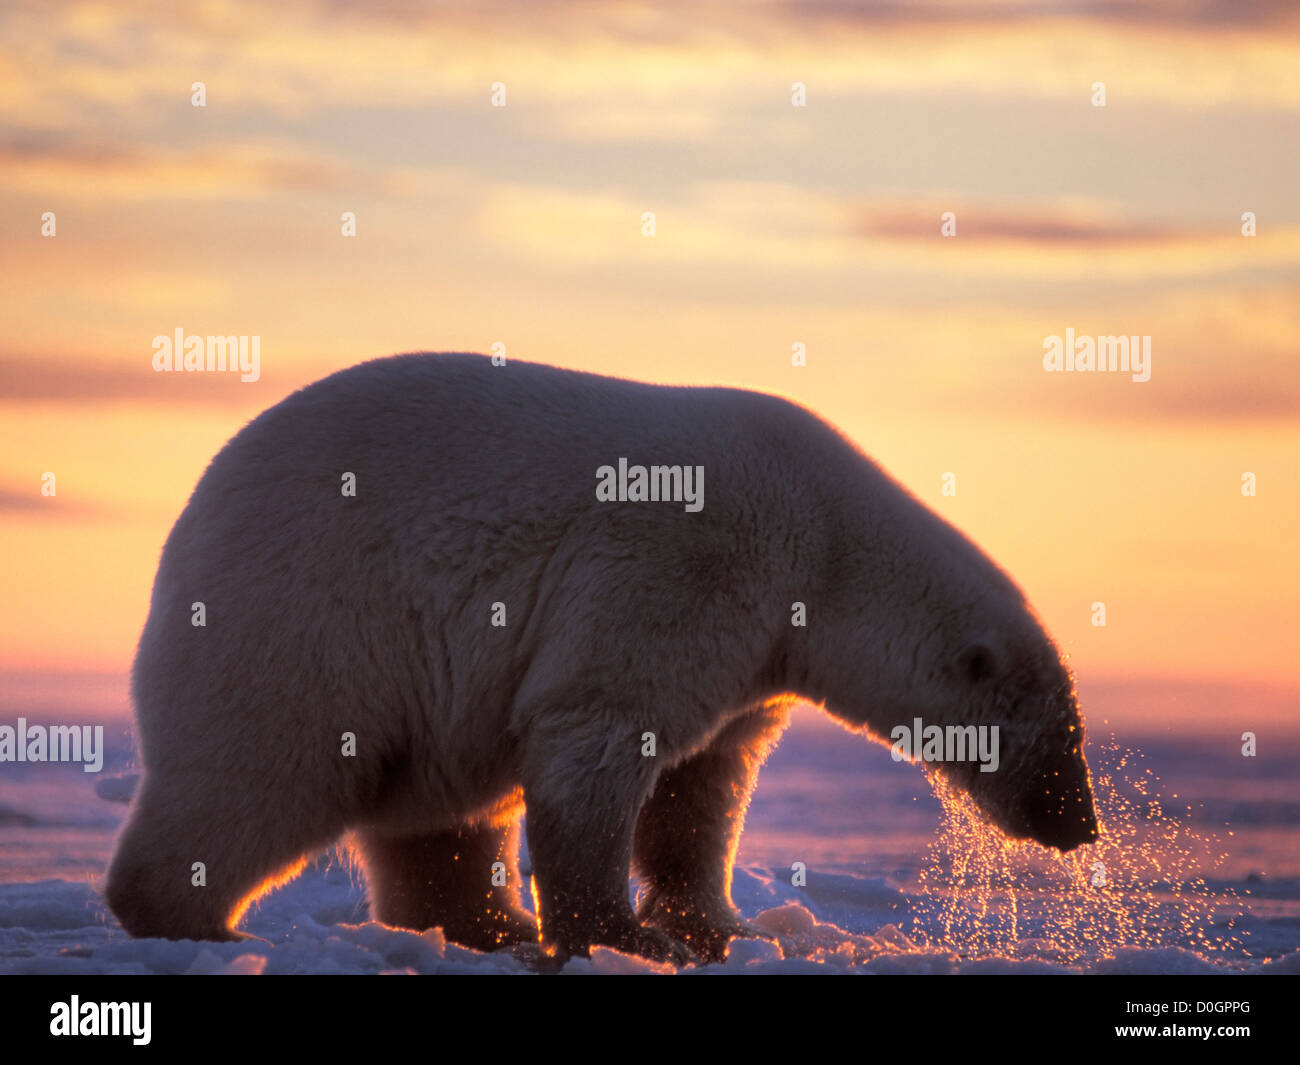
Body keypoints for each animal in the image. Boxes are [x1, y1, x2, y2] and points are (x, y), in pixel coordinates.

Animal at [105, 352, 1097, 963]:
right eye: (1060, 738)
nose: (1080, 825)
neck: (824, 540)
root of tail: (184, 526)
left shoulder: (752, 660)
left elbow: (705, 783)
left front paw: (719, 927)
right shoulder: (682, 570)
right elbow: (601, 737)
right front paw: (627, 936)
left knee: (439, 809)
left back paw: (490, 925)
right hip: (305, 617)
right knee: (264, 771)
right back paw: (197, 924)